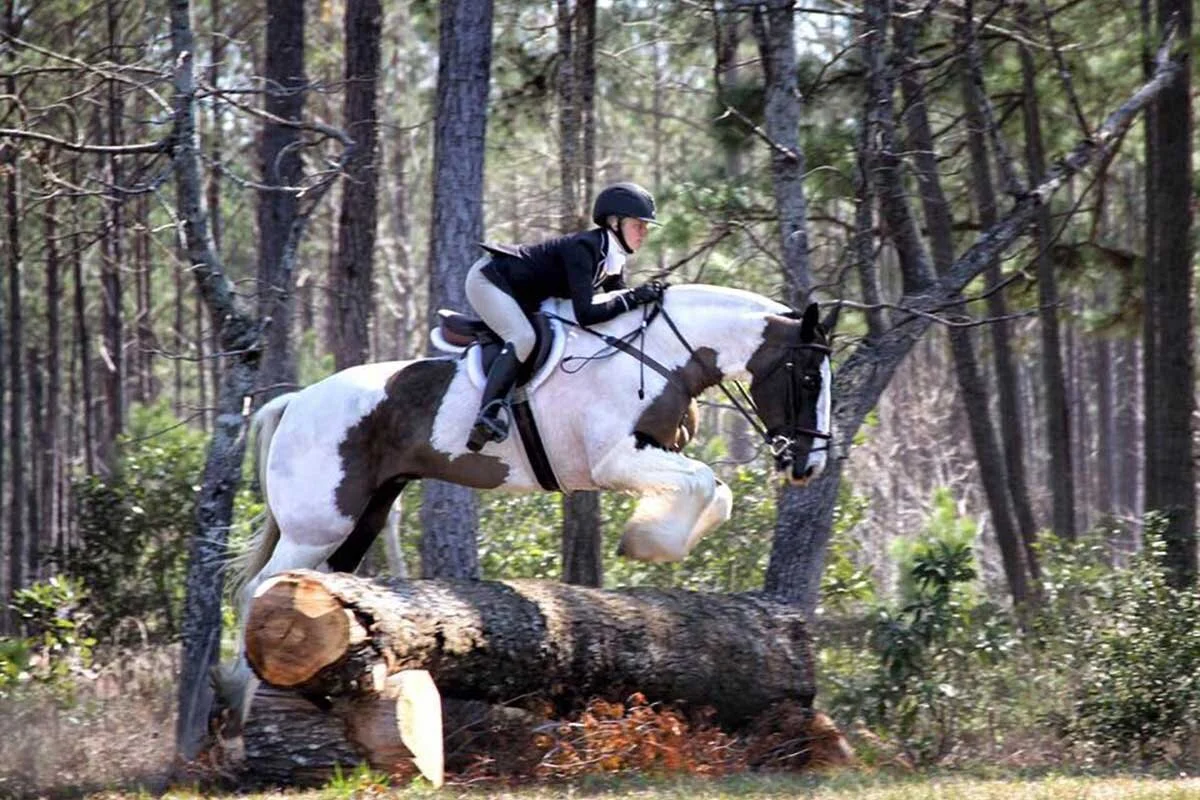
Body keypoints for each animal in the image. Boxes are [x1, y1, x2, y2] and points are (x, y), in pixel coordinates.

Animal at [218, 283, 833, 720]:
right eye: (807, 377)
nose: (809, 466)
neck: (658, 352)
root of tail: (297, 401)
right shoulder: (614, 460)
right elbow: (705, 482)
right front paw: (646, 543)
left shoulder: (653, 453)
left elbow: (717, 493)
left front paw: (657, 539)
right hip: (317, 525)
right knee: (259, 589)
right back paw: (240, 713)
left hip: (363, 515)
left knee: (324, 584)